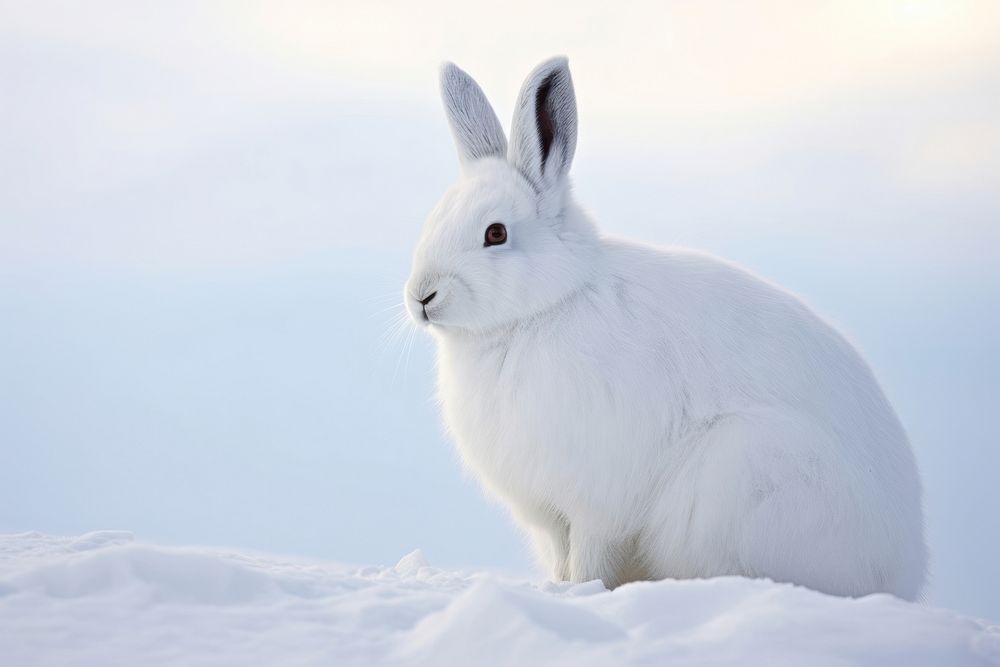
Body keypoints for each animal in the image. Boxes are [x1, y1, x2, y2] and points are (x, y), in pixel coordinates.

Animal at [404, 56, 927, 600]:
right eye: (435, 218)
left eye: (496, 233)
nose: (421, 297)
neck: (541, 310)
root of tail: (900, 573)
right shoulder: (549, 514)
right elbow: (562, 557)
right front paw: (558, 589)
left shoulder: (597, 499)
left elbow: (589, 556)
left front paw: (581, 593)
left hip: (750, 473)